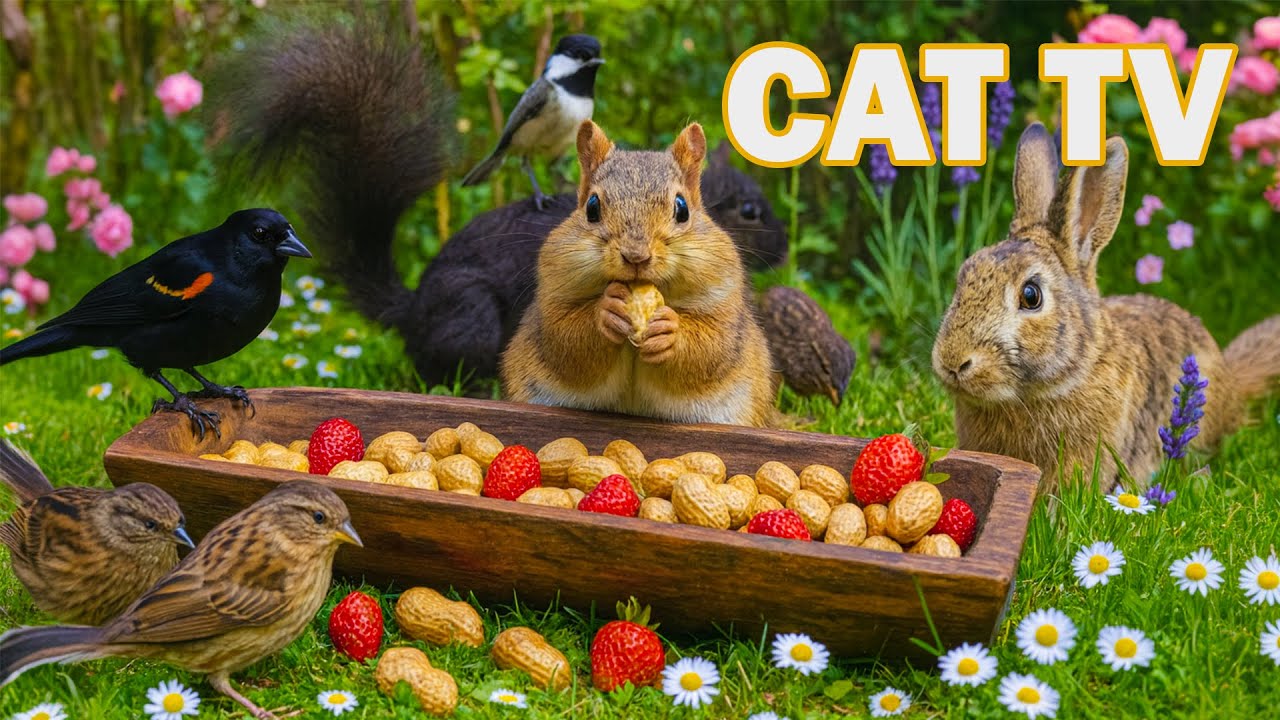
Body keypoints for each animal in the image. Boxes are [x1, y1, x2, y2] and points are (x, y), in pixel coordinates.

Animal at [499, 121, 778, 426]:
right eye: (592, 207)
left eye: (682, 208)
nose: (636, 256)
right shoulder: (553, 293)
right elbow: (564, 338)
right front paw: (606, 311)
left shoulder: (723, 302)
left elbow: (712, 347)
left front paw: (670, 330)